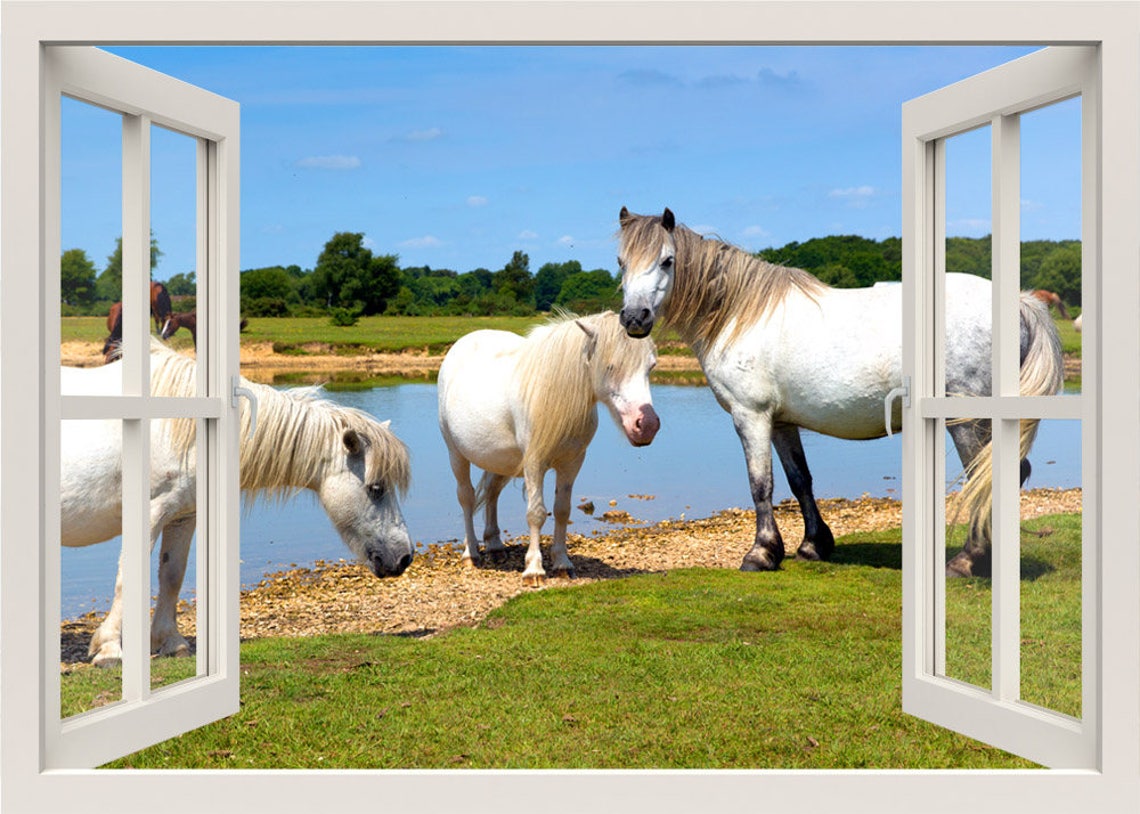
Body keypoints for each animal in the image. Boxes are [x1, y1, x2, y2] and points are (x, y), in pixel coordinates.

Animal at [62, 340, 414, 665]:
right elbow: (127, 578)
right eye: (376, 488)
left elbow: (172, 574)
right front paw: (109, 648)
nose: (404, 557)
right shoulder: (151, 512)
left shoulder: (182, 516)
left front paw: (170, 641)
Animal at [438, 310, 660, 585]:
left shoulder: (572, 463)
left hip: (500, 459)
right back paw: (471, 555)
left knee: (491, 492)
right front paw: (534, 570)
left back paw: (495, 547)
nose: (647, 426)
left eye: (651, 367)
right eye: (611, 366)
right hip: (456, 453)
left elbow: (562, 510)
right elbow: (537, 513)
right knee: (466, 497)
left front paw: (563, 563)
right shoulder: (534, 463)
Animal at [616, 207, 1063, 577]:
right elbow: (800, 480)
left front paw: (761, 554)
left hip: (967, 421)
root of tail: (1019, 303)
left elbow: (761, 484)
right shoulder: (781, 421)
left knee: (985, 477)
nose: (634, 318)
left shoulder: (751, 415)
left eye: (667, 260)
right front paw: (813, 545)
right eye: (621, 263)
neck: (740, 315)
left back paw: (968, 560)